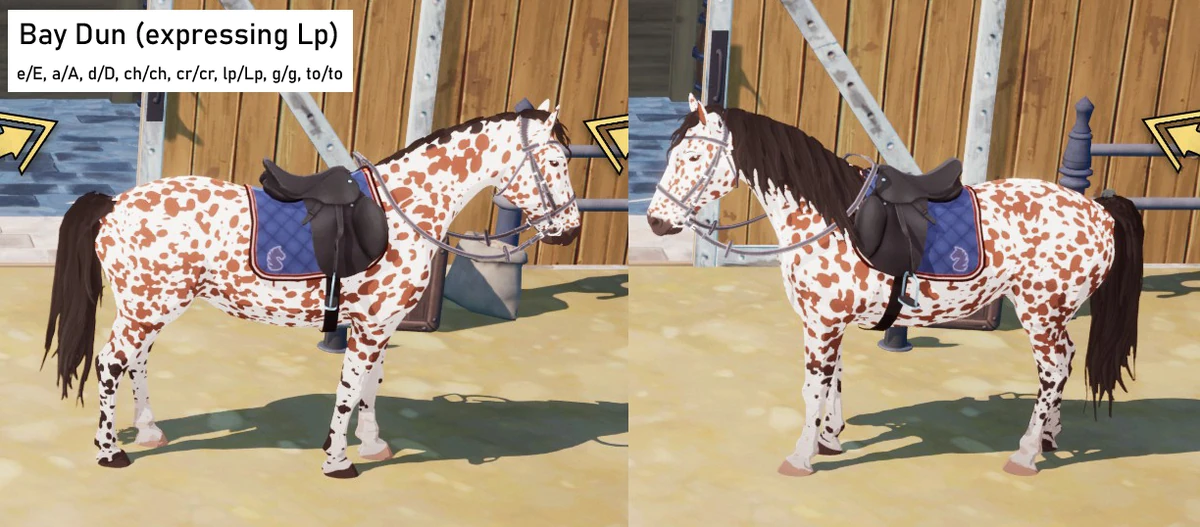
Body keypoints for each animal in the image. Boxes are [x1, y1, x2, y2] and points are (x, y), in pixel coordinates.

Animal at [43, 102, 582, 478]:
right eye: (556, 161)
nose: (571, 229)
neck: (401, 208)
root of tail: (114, 204)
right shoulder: (368, 329)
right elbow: (348, 392)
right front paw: (339, 461)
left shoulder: (377, 327)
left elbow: (369, 388)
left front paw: (373, 445)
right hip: (146, 310)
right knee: (109, 363)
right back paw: (110, 451)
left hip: (147, 309)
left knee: (135, 361)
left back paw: (150, 431)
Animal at [645, 93, 1144, 477]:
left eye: (693, 157)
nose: (655, 221)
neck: (831, 217)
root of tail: (1098, 210)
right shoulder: (831, 324)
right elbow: (834, 380)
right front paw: (829, 440)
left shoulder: (821, 325)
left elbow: (812, 389)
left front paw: (801, 457)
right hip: (1054, 316)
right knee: (1066, 361)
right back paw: (1049, 437)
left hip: (1040, 313)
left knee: (1053, 369)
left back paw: (1025, 454)